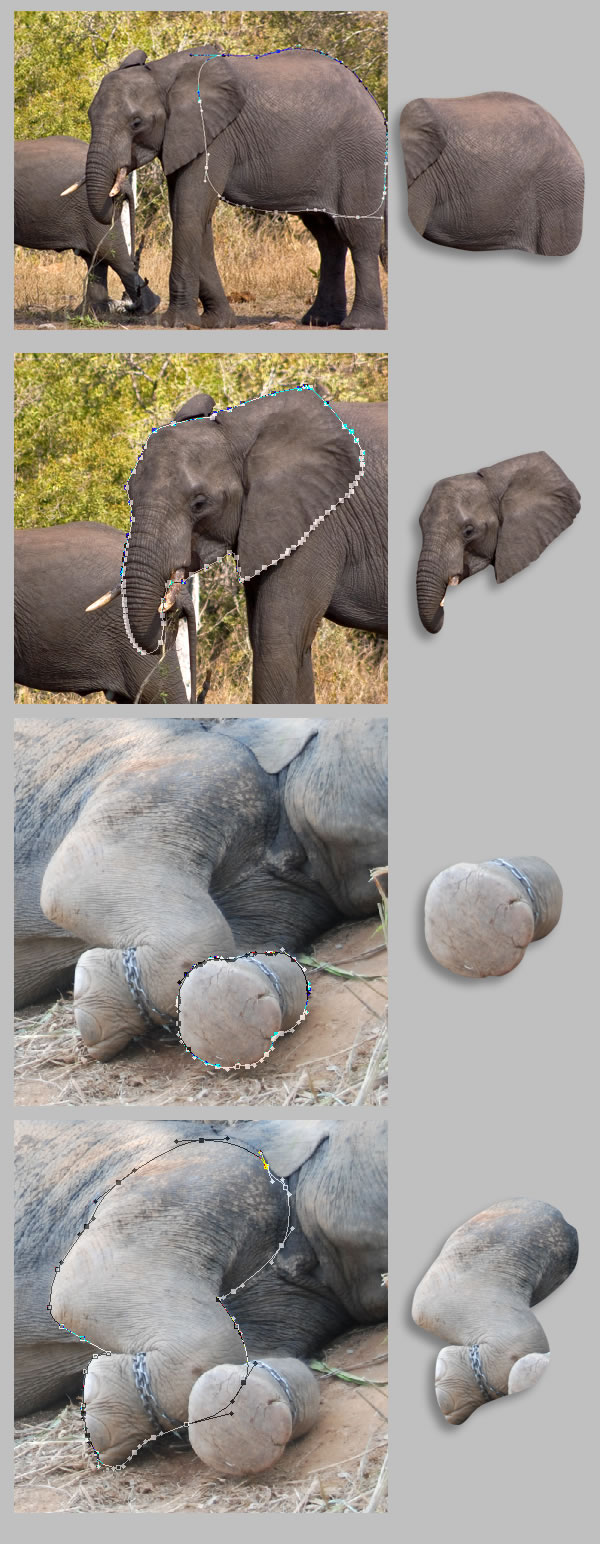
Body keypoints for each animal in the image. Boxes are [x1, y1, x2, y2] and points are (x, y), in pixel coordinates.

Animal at [14, 138, 160, 317]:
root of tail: (122, 180)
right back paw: (90, 312)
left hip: (93, 210)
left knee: (111, 254)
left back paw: (143, 308)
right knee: (96, 257)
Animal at [85, 45, 387, 329]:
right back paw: (319, 320)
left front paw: (177, 323)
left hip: (359, 155)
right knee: (327, 237)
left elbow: (189, 212)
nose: (119, 192)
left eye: (136, 123)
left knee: (358, 234)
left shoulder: (214, 136)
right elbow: (194, 216)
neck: (162, 75)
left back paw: (359, 325)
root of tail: (370, 96)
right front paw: (216, 323)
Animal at [112, 385, 387, 704]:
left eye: (199, 504)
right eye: (129, 492)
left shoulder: (315, 523)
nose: (173, 604)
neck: (236, 430)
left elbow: (277, 641)